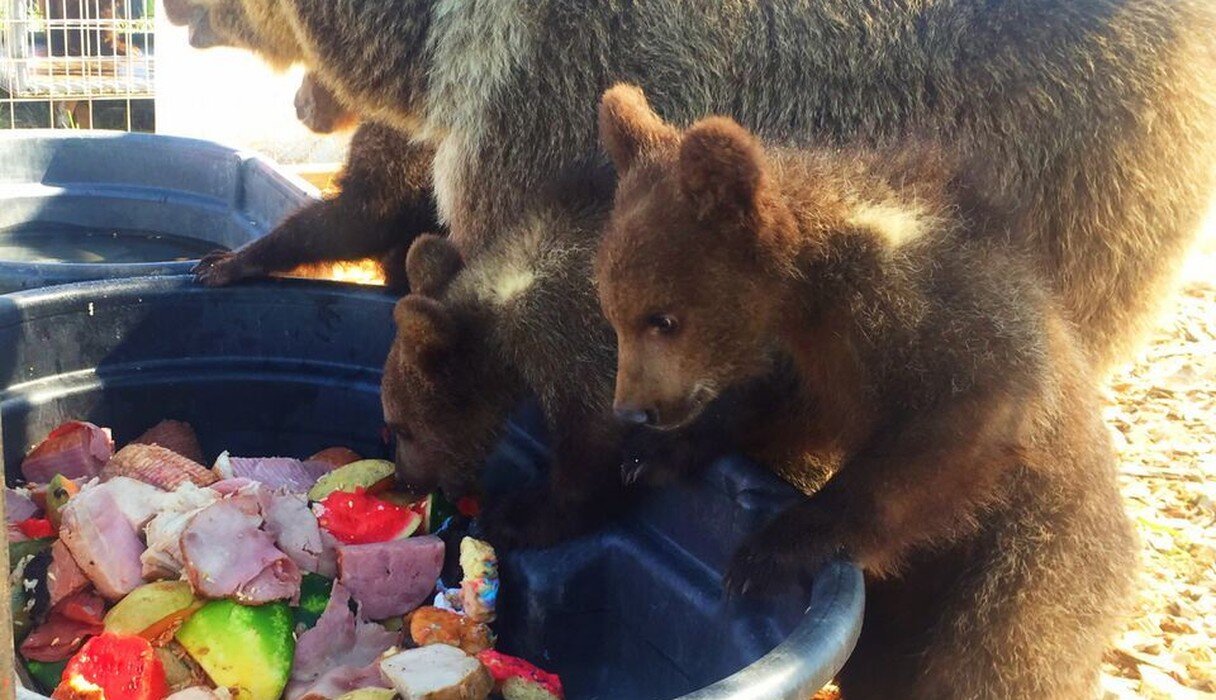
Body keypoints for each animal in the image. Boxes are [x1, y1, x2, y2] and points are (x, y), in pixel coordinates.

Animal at [593, 84, 1138, 699]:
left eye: (662, 319)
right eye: (612, 312)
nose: (632, 410)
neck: (820, 291)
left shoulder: (957, 340)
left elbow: (940, 445)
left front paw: (768, 551)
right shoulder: (824, 368)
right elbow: (771, 405)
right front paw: (651, 456)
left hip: (1032, 565)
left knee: (996, 659)